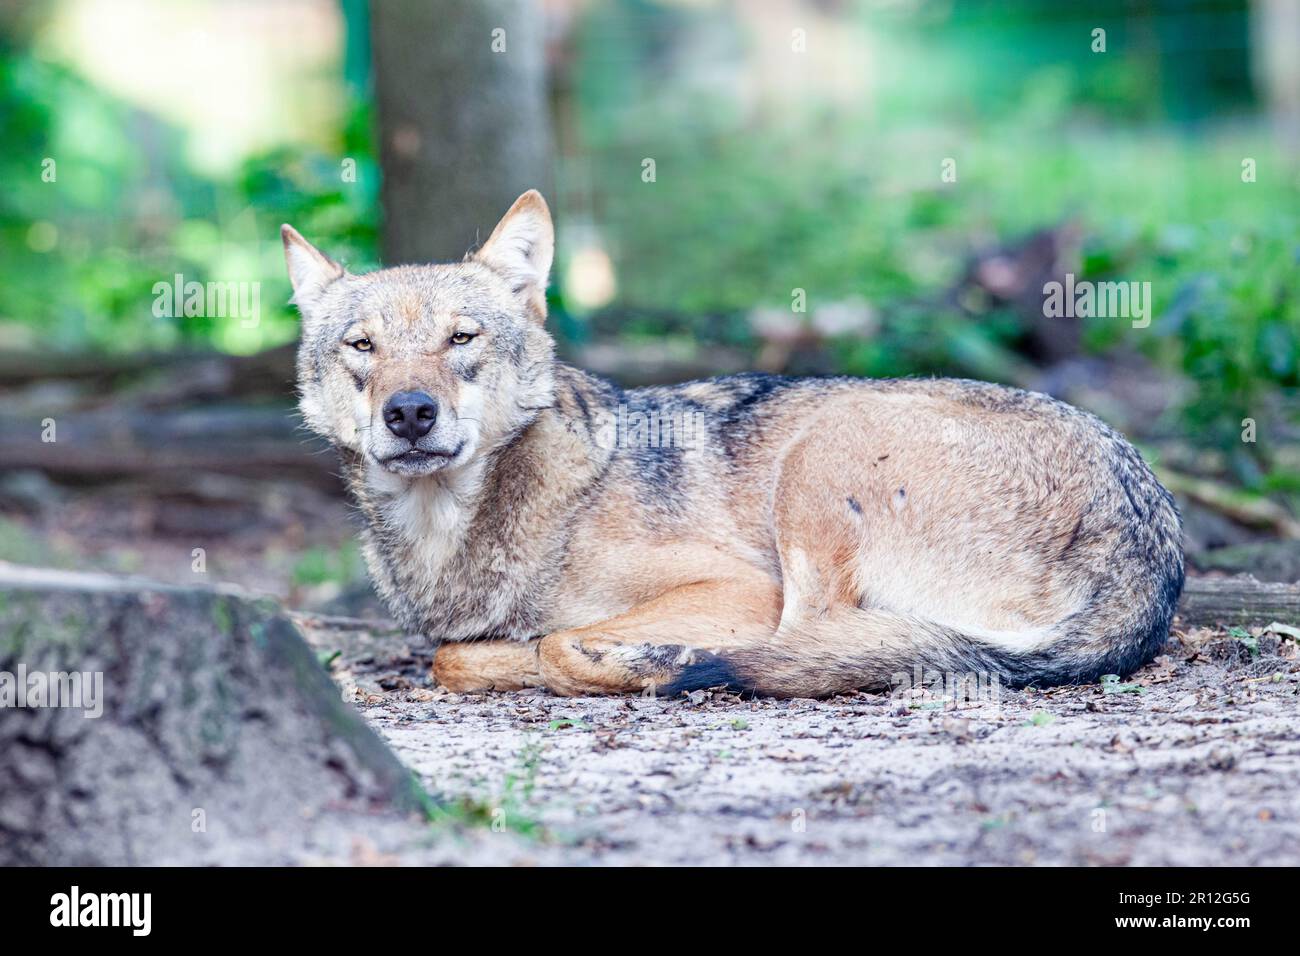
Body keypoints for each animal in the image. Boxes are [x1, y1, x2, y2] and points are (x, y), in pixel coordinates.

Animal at [282, 190, 1183, 698]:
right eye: (363, 347)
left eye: (461, 337)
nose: (410, 413)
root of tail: (1152, 538)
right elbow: (456, 653)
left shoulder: (740, 588)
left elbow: (527, 645)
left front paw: (608, 657)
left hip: (823, 454)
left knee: (802, 645)